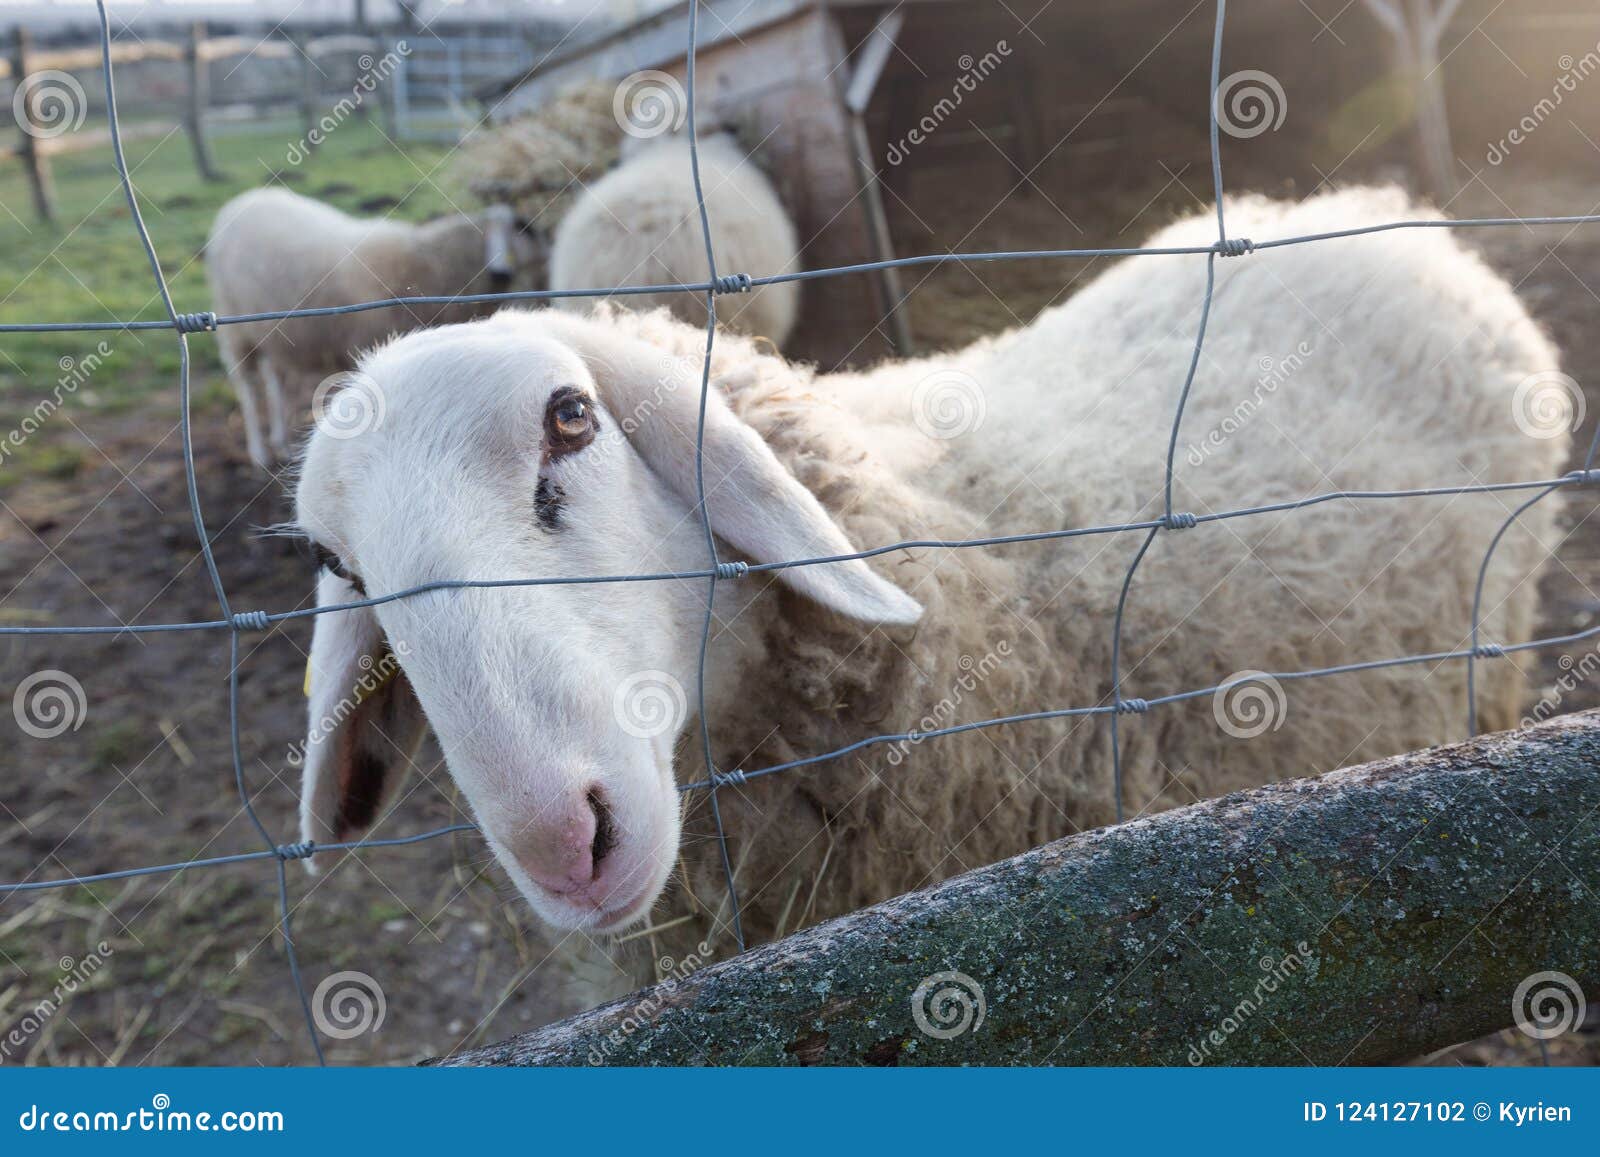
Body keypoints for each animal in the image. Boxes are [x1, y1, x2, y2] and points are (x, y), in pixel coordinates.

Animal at [205, 188, 545, 472]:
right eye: (489, 231)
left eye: (520, 227)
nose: (502, 272)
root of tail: (244, 198)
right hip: (234, 328)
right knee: (247, 389)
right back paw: (259, 452)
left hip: (270, 332)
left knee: (274, 380)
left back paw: (280, 442)